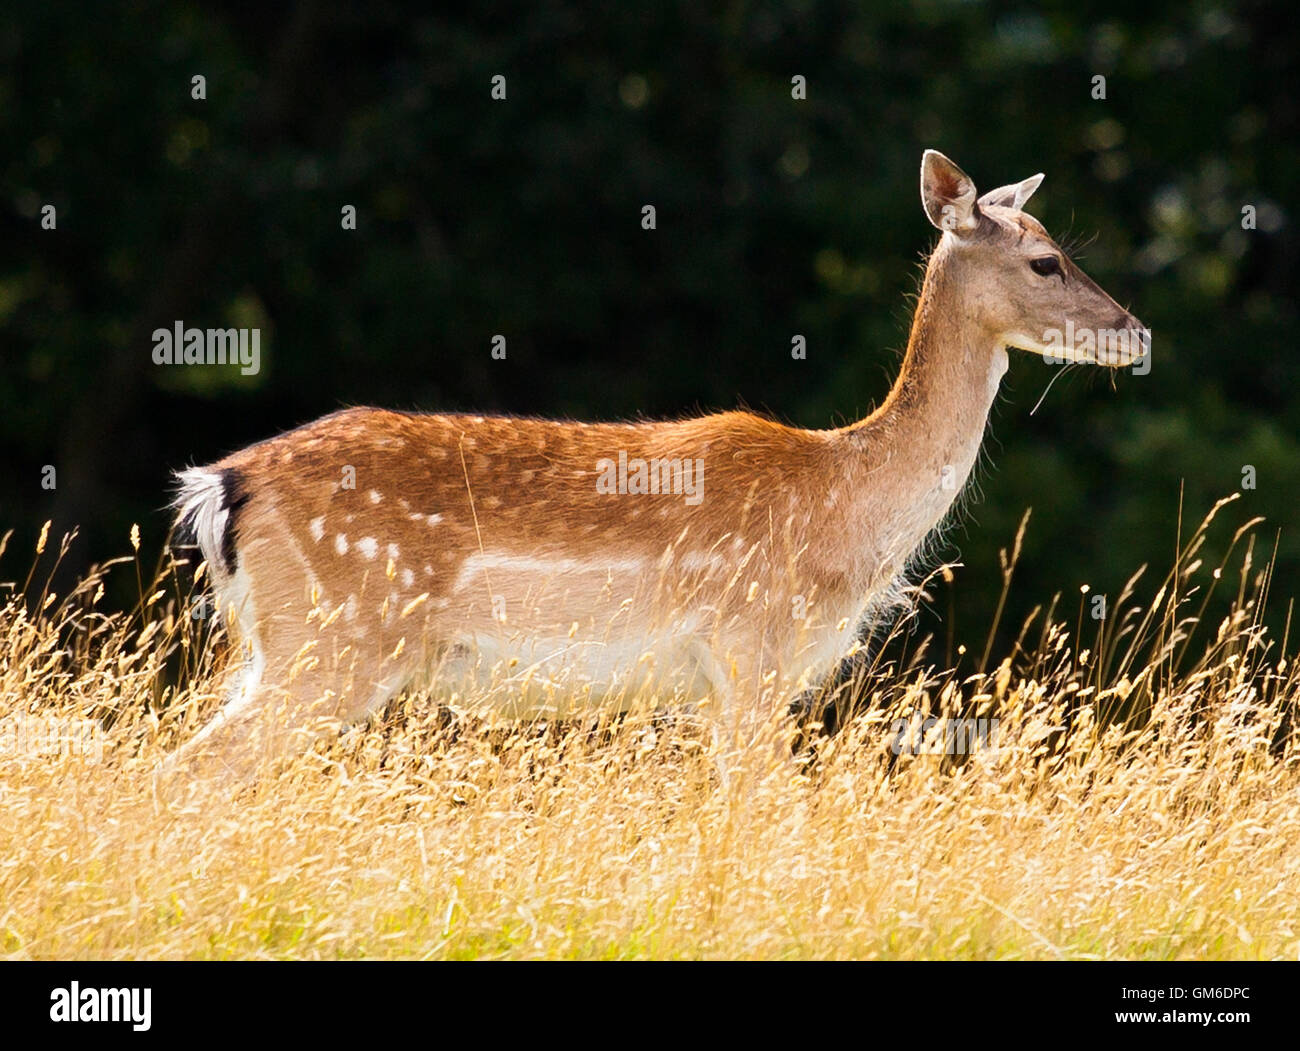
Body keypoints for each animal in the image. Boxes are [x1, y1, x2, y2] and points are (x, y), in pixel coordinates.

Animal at [162, 150, 1148, 790]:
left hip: (278, 644)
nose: (1136, 332)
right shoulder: (750, 646)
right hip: (336, 640)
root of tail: (224, 484)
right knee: (184, 771)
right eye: (1045, 260)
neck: (843, 507)